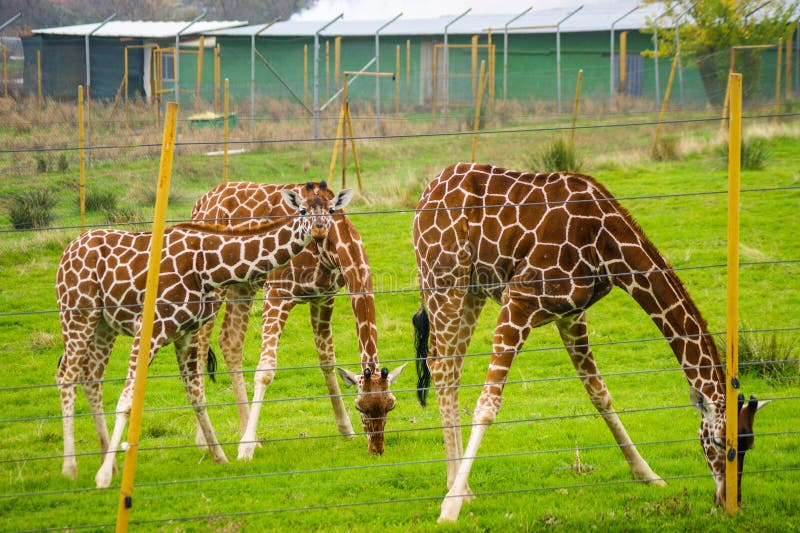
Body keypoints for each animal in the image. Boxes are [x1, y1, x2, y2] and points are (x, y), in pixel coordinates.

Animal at [56, 183, 353, 488]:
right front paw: (102, 477)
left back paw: (109, 462)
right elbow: (128, 400)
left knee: (91, 378)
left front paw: (219, 455)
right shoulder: (153, 327)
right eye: (302, 210)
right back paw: (72, 467)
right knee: (67, 376)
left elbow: (195, 393)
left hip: (103, 325)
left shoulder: (184, 332)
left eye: (331, 210)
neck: (206, 264)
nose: (319, 230)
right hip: (77, 315)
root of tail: (67, 251)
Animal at [190, 181, 405, 458]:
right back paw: (206, 441)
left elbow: (327, 361)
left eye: (390, 405)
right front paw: (245, 449)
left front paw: (346, 430)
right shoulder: (277, 293)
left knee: (230, 340)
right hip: (213, 287)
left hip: (242, 286)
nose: (376, 449)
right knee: (201, 345)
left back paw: (250, 435)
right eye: (360, 406)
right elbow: (265, 370)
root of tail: (199, 204)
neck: (330, 249)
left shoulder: (323, 297)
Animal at [411, 163, 768, 522]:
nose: (728, 501)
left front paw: (647, 474)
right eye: (720, 442)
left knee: (451, 370)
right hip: (445, 279)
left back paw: (462, 485)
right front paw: (449, 508)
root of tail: (426, 193)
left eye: (749, 443)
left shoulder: (571, 314)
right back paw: (457, 489)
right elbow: (487, 405)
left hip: (472, 289)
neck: (607, 246)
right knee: (442, 369)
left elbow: (599, 393)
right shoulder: (520, 300)